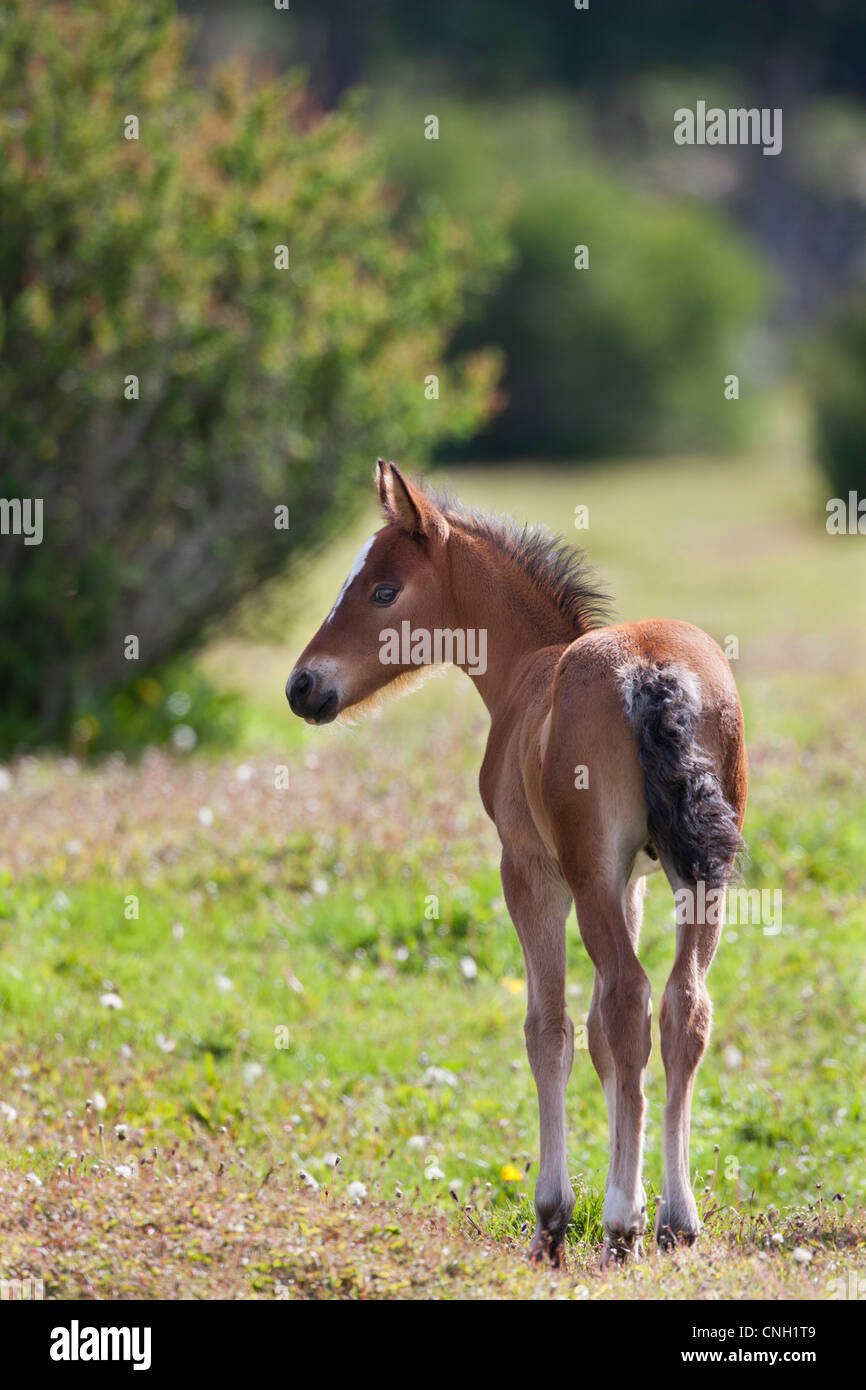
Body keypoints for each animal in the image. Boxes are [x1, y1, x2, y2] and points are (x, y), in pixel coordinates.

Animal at [287, 459, 747, 1266]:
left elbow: (551, 1029)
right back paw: (677, 1219)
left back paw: (621, 1225)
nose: (302, 686)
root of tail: (654, 672)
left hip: (589, 876)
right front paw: (623, 1199)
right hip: (698, 878)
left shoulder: (533, 873)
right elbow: (599, 1037)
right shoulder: (630, 881)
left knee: (629, 1000)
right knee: (682, 1006)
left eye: (382, 590)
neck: (528, 670)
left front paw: (556, 1216)